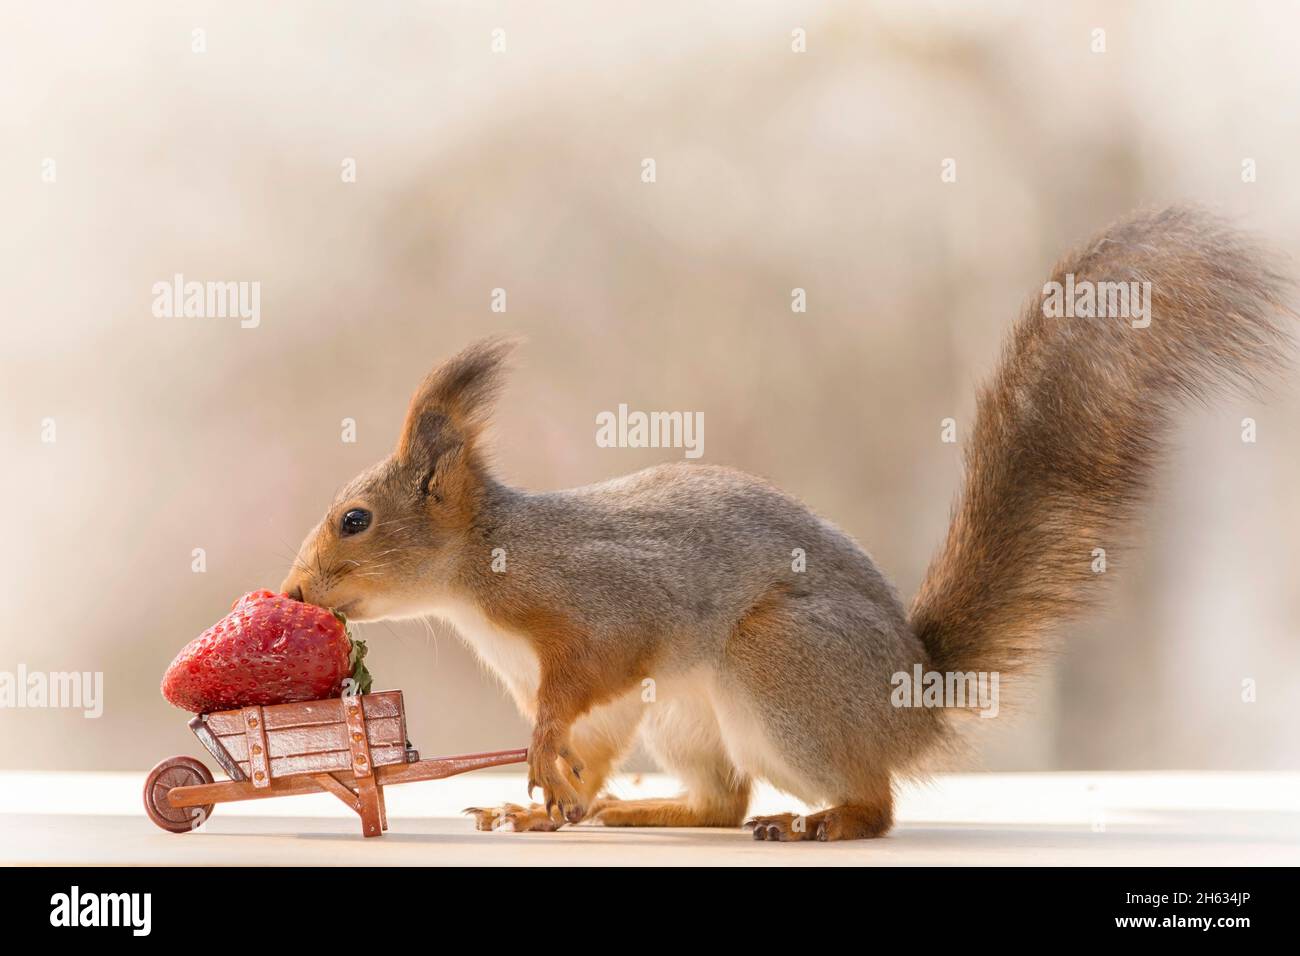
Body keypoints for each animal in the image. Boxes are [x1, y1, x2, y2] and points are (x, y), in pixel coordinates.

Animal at [281, 206, 1292, 841]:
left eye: (355, 519)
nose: (292, 591)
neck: (476, 582)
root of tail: (914, 699)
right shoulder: (595, 698)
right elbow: (589, 748)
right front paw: (542, 804)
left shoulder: (599, 605)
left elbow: (588, 680)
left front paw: (537, 760)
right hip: (686, 714)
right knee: (720, 803)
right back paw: (646, 811)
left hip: (779, 664)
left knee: (867, 803)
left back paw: (825, 819)